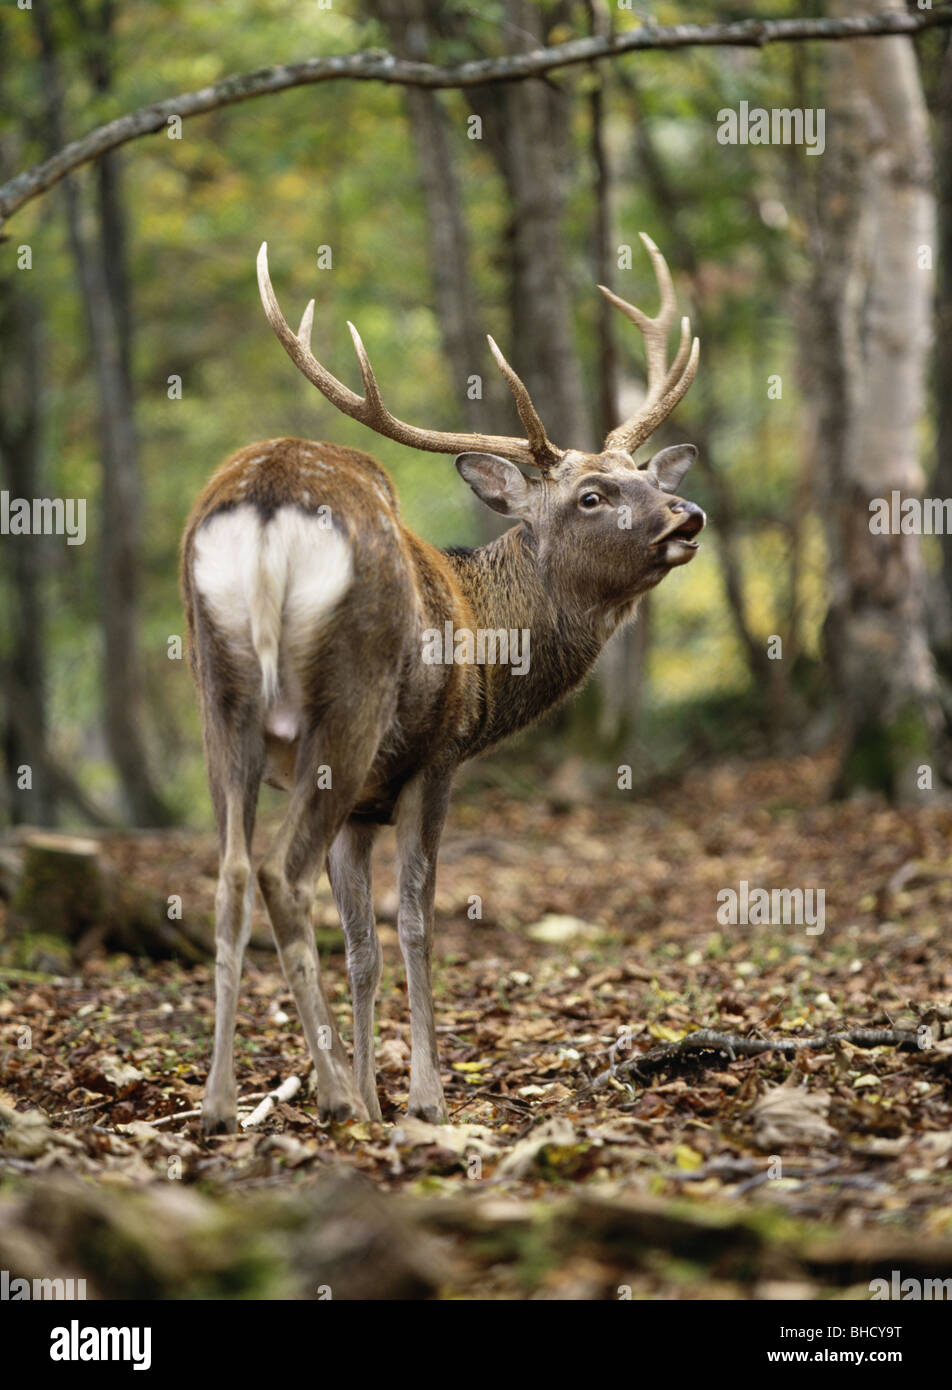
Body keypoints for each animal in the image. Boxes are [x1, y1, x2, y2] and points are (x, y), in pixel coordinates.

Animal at [181, 232, 704, 1133]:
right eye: (592, 494)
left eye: (647, 475)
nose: (686, 515)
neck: (488, 637)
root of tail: (269, 502)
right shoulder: (436, 757)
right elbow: (419, 921)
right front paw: (421, 1098)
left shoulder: (364, 808)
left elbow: (362, 946)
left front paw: (377, 1094)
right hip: (349, 707)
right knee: (280, 873)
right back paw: (326, 1097)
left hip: (224, 700)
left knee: (233, 875)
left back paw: (222, 1104)